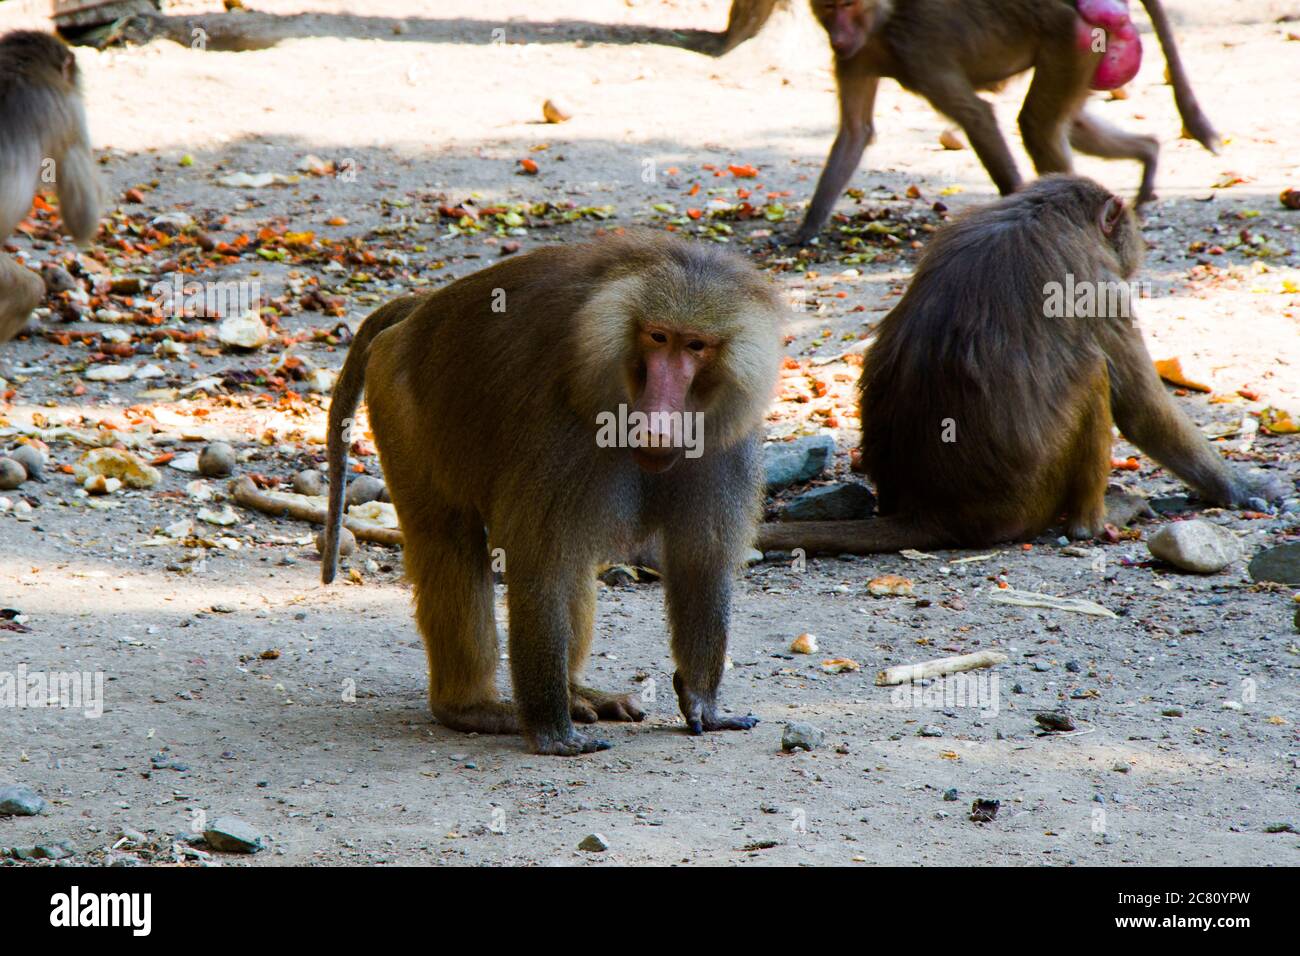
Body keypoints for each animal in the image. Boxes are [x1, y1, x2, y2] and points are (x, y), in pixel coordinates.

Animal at [321, 233, 784, 756]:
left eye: (696, 346)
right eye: (657, 338)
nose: (660, 419)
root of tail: (422, 308)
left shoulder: (723, 444)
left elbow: (699, 561)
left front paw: (704, 702)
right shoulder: (559, 428)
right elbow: (539, 565)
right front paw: (551, 732)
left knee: (571, 562)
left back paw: (578, 692)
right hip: (399, 395)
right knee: (449, 541)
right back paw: (472, 708)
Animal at [757, 175, 1289, 556]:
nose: (1137, 252)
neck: (1044, 209)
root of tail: (930, 509)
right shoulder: (1101, 283)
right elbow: (1140, 406)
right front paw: (1239, 486)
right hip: (1030, 498)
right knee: (1093, 375)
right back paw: (1096, 521)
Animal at [793, 0, 1218, 244]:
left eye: (849, 5)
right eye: (829, 8)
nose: (838, 36)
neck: (881, 25)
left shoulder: (919, 52)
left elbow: (976, 116)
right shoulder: (854, 58)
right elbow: (855, 133)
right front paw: (805, 230)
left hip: (1071, 39)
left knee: (1038, 126)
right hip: (1089, 50)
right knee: (1067, 125)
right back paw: (1149, 155)